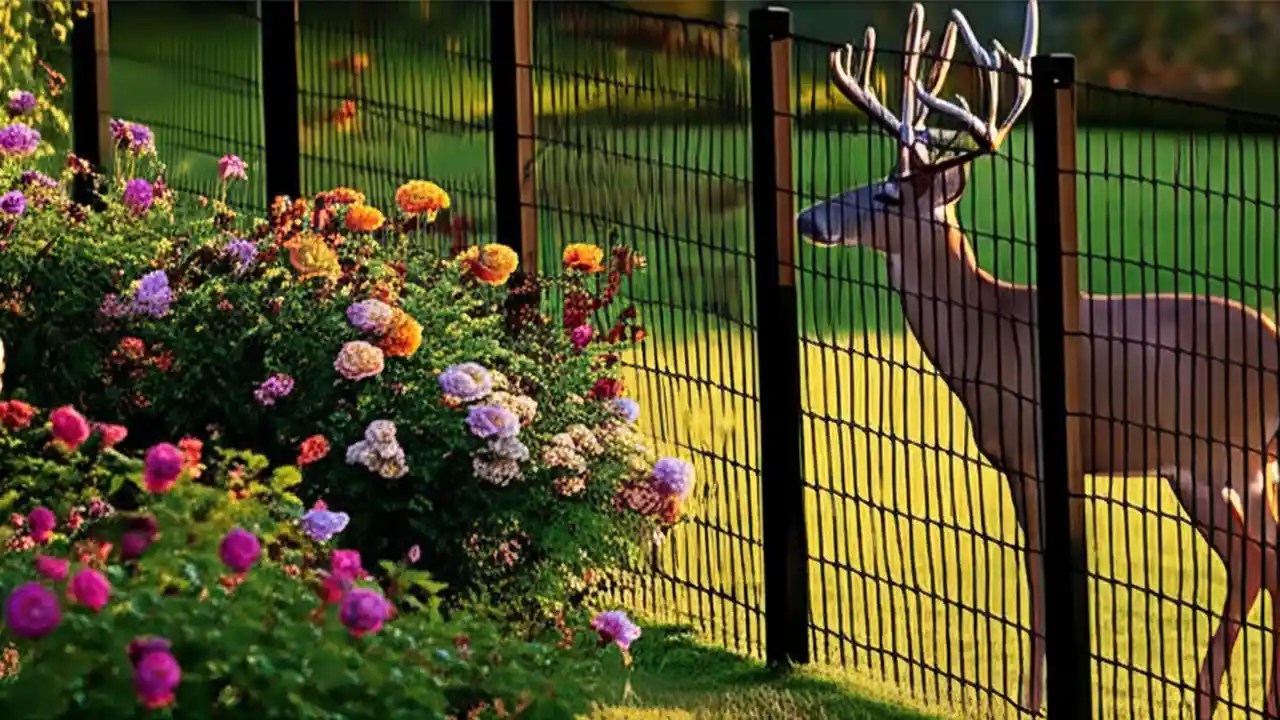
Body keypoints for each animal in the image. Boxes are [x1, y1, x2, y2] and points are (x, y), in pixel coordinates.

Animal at [795, 1, 1280, 717]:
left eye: (888, 196)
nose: (807, 218)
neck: (989, 333)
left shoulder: (1033, 449)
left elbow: (1037, 574)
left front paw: (1030, 699)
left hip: (1230, 452)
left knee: (1263, 560)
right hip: (1200, 467)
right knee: (1254, 563)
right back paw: (1218, 698)